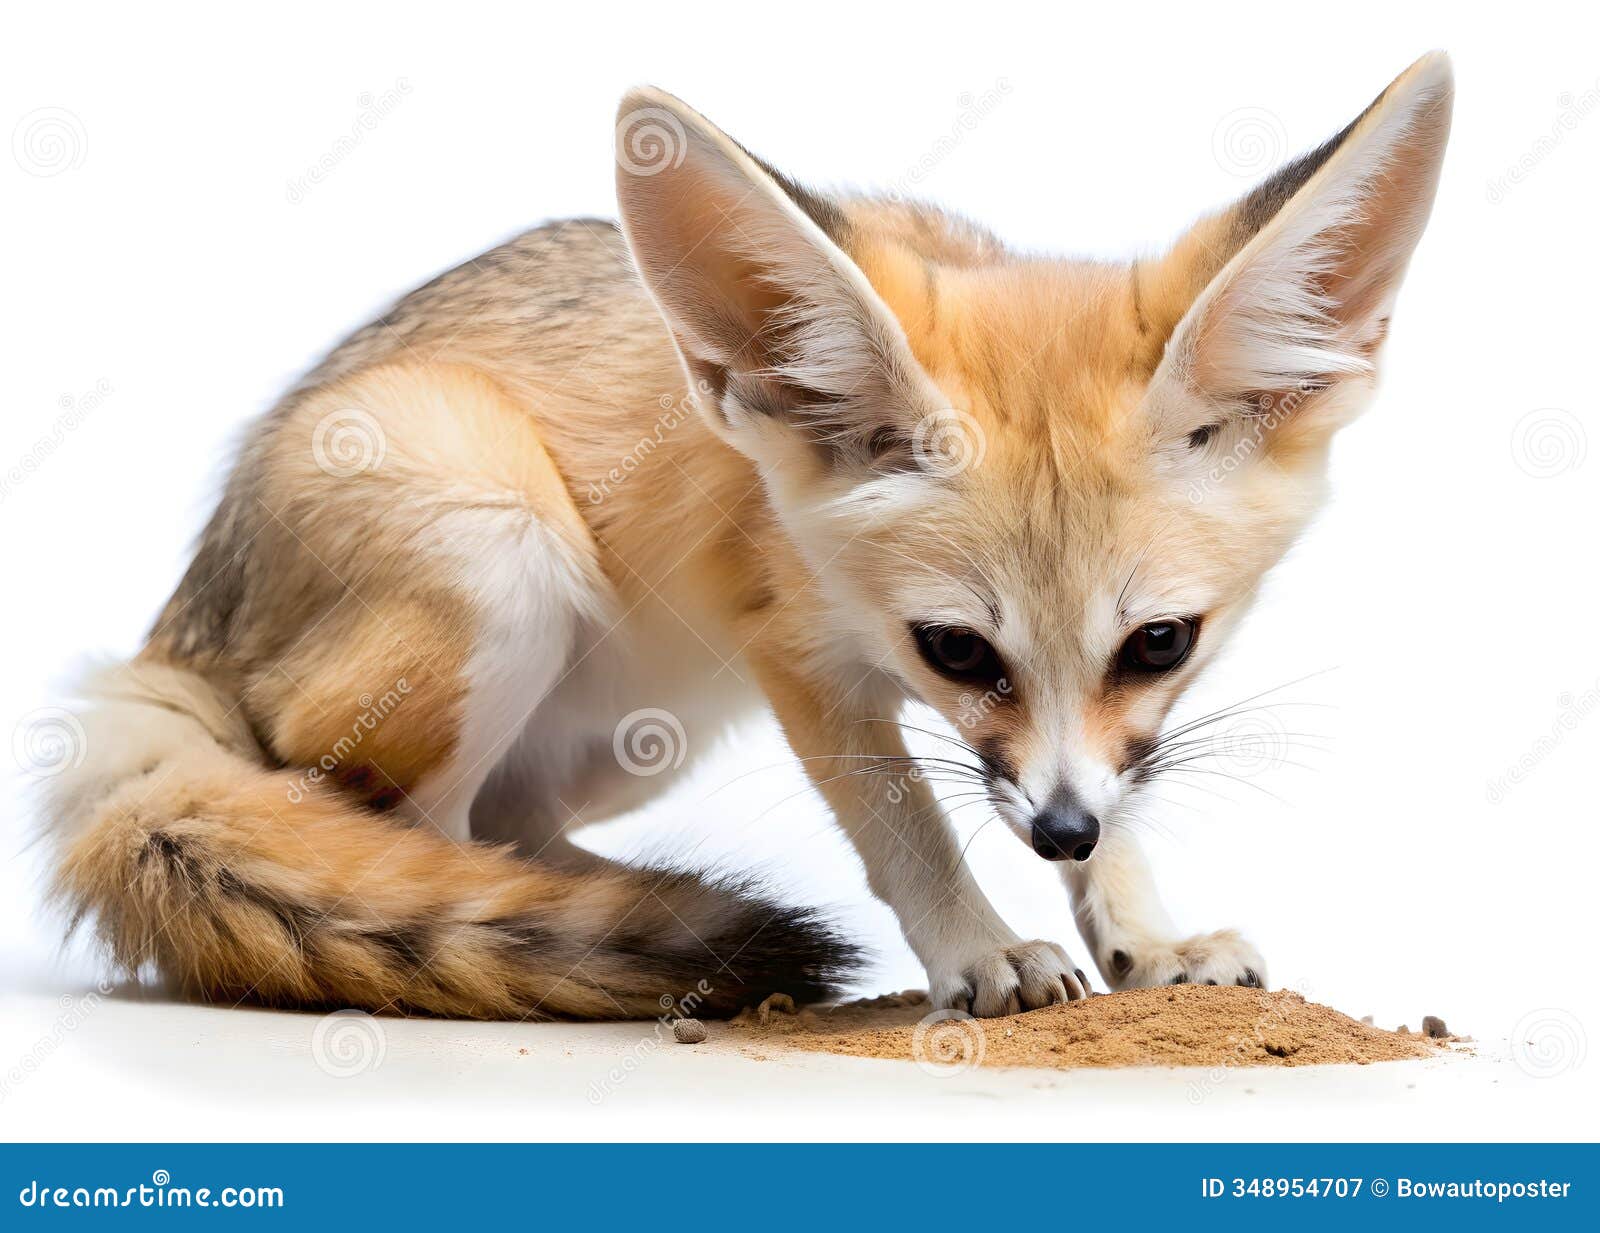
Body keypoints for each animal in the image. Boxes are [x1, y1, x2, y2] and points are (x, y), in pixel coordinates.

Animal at [43, 54, 1452, 1020]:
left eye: (1161, 643)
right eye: (953, 652)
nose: (1056, 835)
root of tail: (174, 648)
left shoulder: (1088, 742)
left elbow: (1125, 802)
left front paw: (1144, 938)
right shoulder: (797, 655)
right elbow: (908, 823)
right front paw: (982, 952)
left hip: (643, 731)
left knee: (503, 826)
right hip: (497, 540)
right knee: (397, 828)